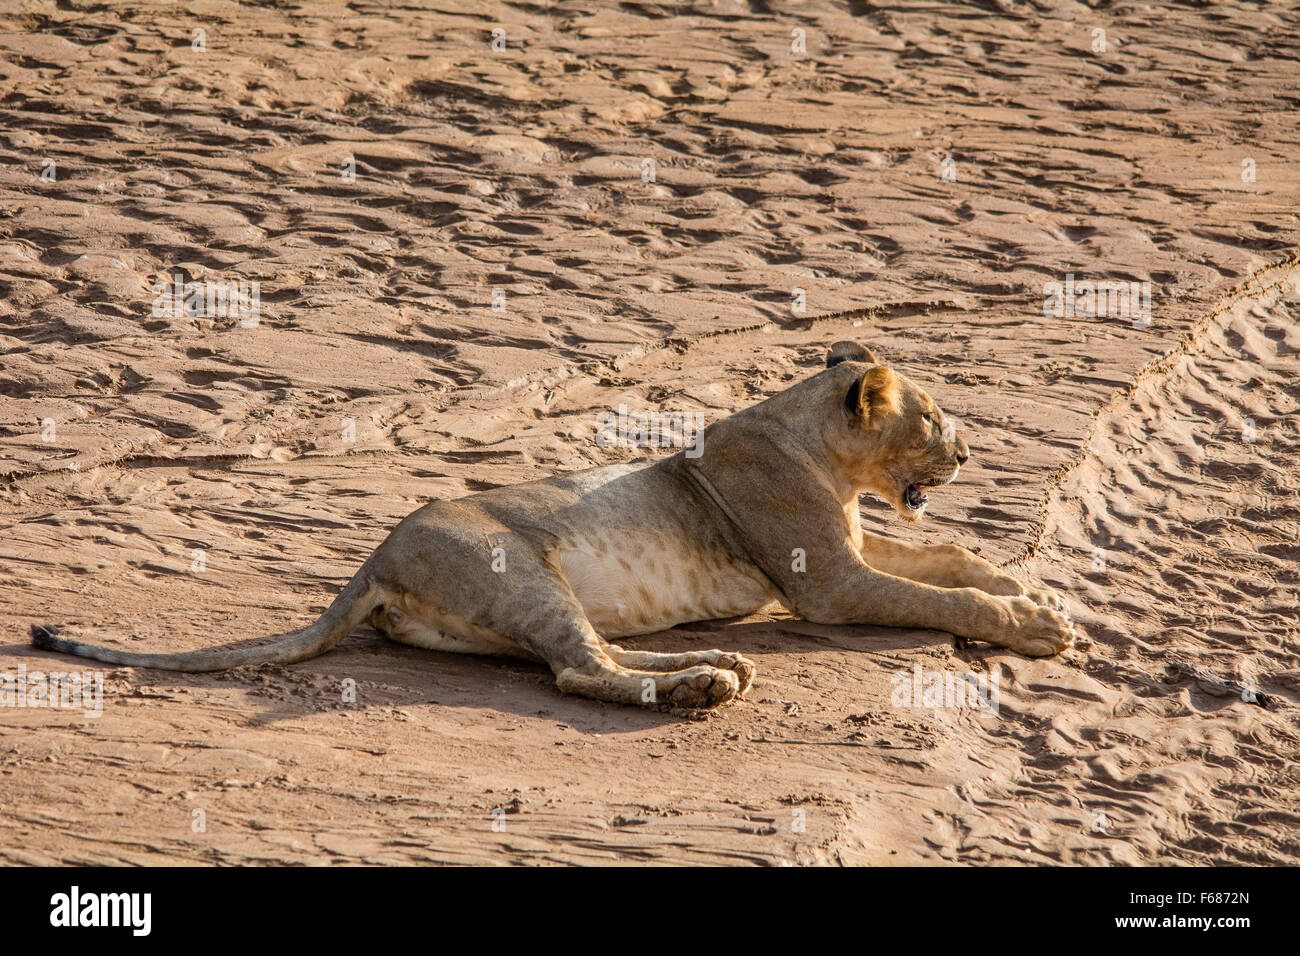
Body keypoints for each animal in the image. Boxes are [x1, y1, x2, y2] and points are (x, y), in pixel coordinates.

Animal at [31, 341, 1074, 709]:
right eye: (933, 419)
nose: (970, 450)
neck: (822, 448)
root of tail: (372, 558)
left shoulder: (851, 544)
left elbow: (946, 553)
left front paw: (1020, 585)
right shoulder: (826, 580)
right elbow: (931, 594)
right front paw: (1034, 622)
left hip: (525, 607)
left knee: (595, 656)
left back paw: (716, 665)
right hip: (521, 568)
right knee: (581, 671)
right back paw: (703, 688)